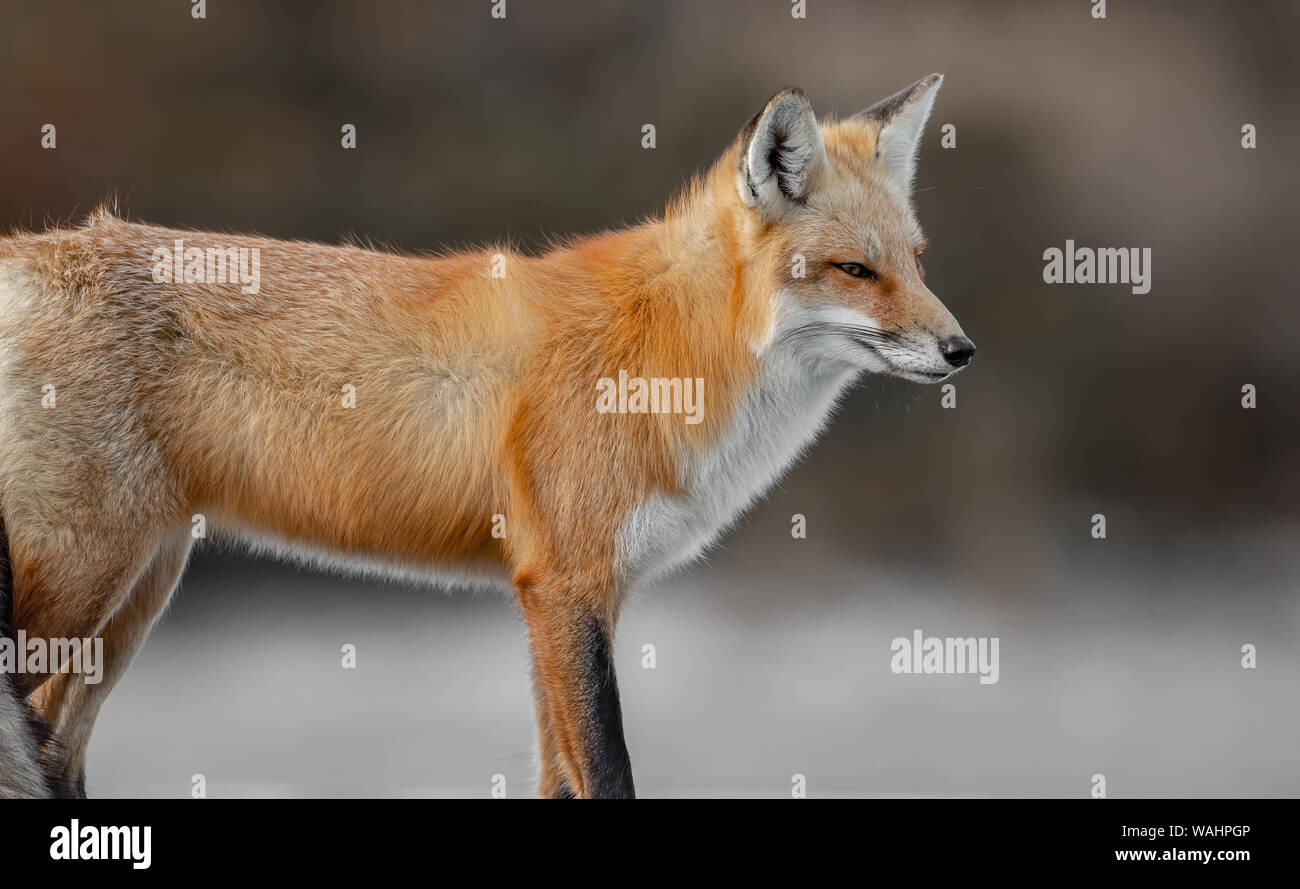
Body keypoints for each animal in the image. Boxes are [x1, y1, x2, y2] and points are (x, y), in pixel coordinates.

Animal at [0, 74, 972, 799]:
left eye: (920, 262)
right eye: (856, 270)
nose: (962, 350)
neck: (670, 352)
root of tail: (25, 253)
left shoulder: (567, 596)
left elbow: (558, 775)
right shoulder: (566, 583)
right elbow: (608, 772)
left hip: (134, 594)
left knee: (58, 751)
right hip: (80, 579)